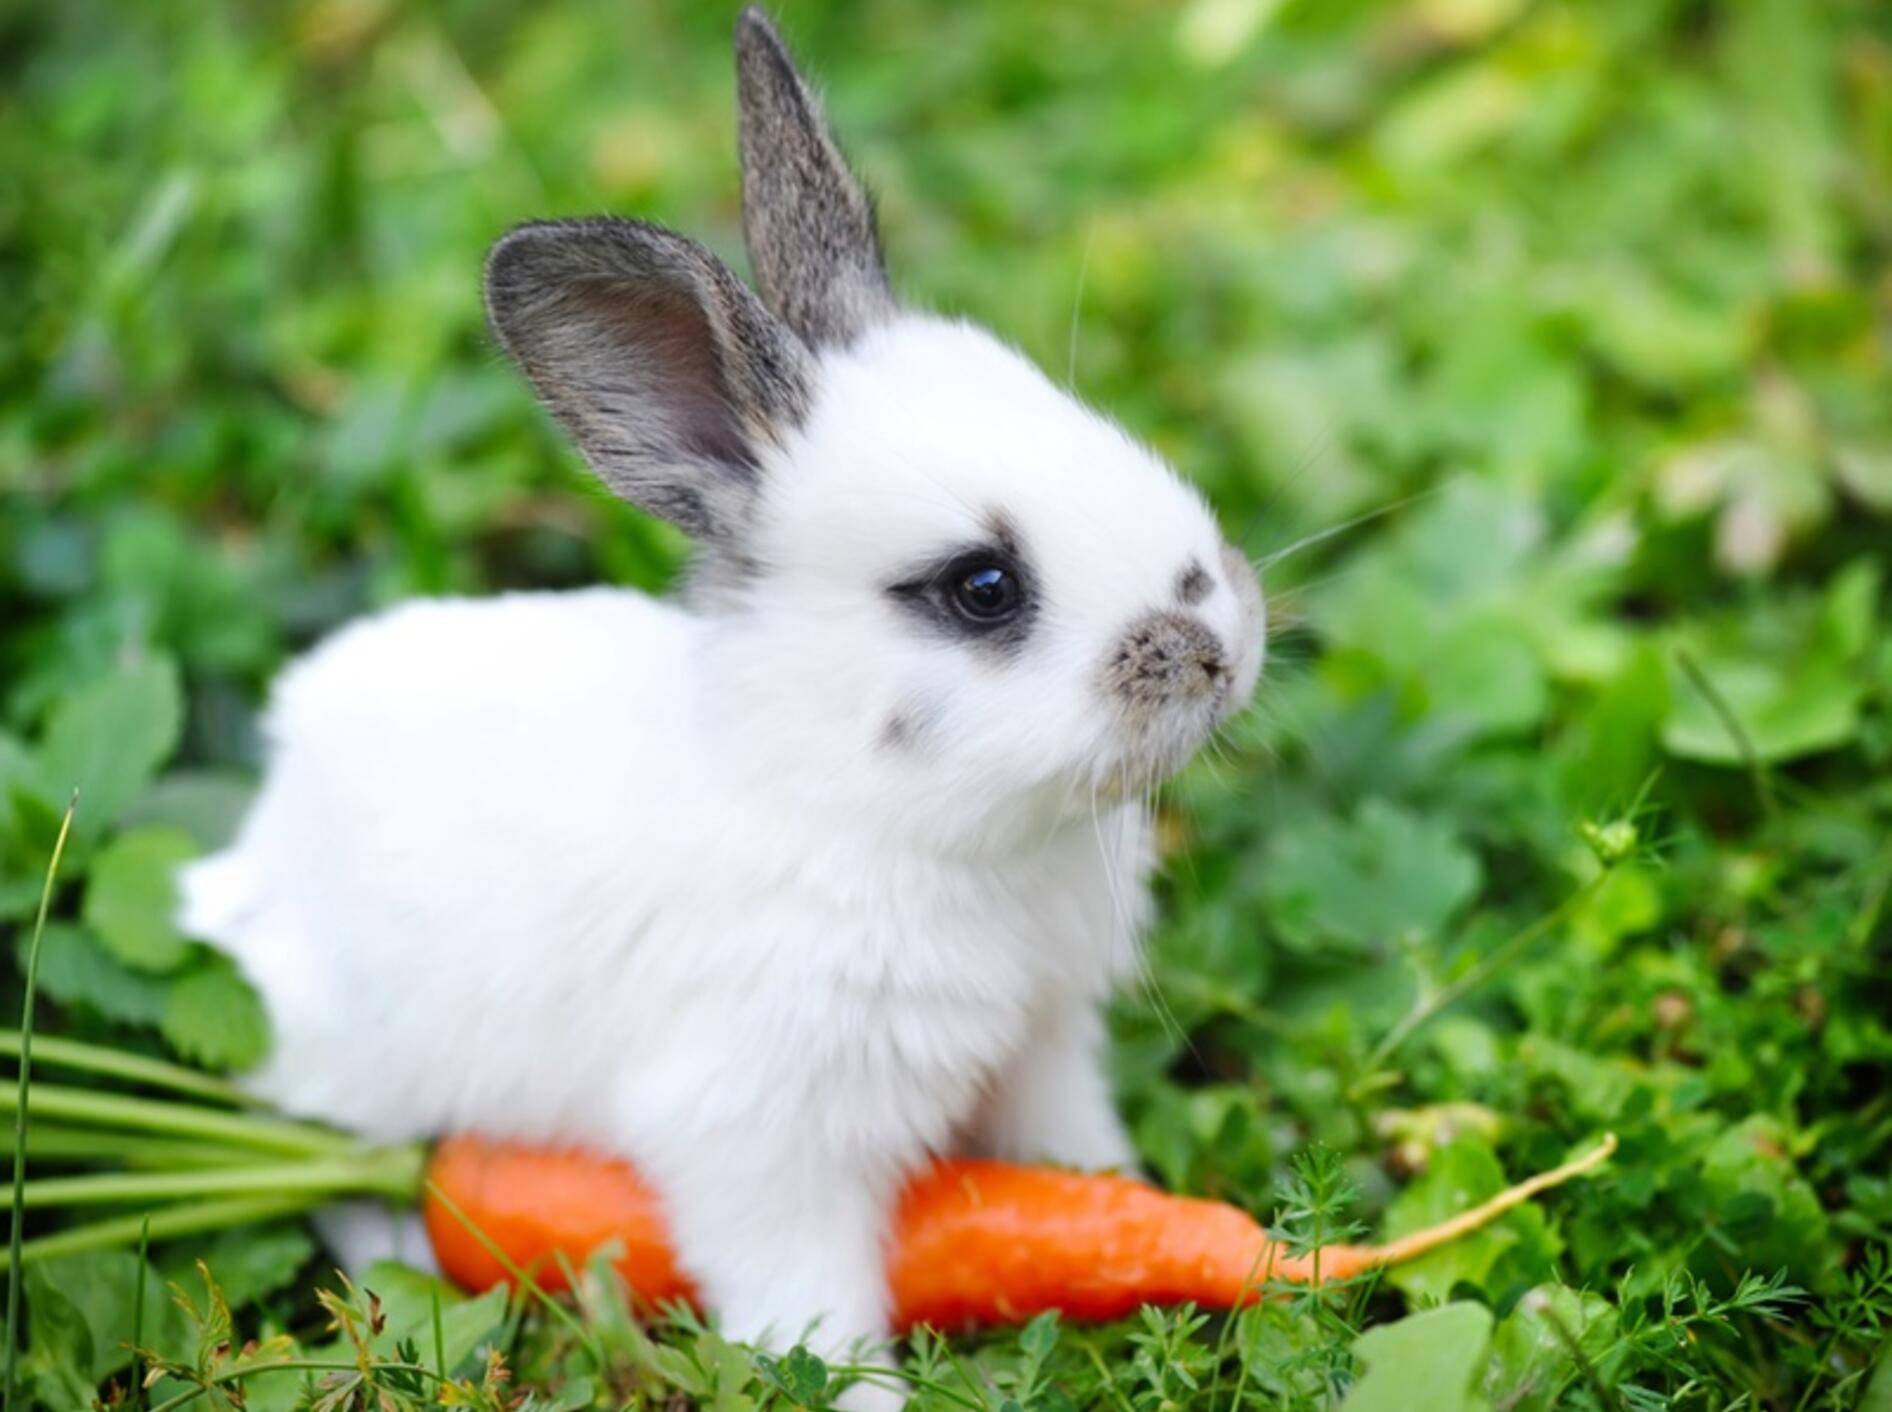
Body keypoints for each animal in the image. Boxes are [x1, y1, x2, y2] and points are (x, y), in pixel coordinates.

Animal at [179, 4, 1265, 1389]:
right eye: (980, 586)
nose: (1218, 639)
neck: (881, 814)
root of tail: (260, 842)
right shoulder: (762, 1139)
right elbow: (809, 1302)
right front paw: (867, 1399)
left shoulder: (1040, 1045)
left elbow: (1071, 1165)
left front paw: (1130, 1211)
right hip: (360, 1080)